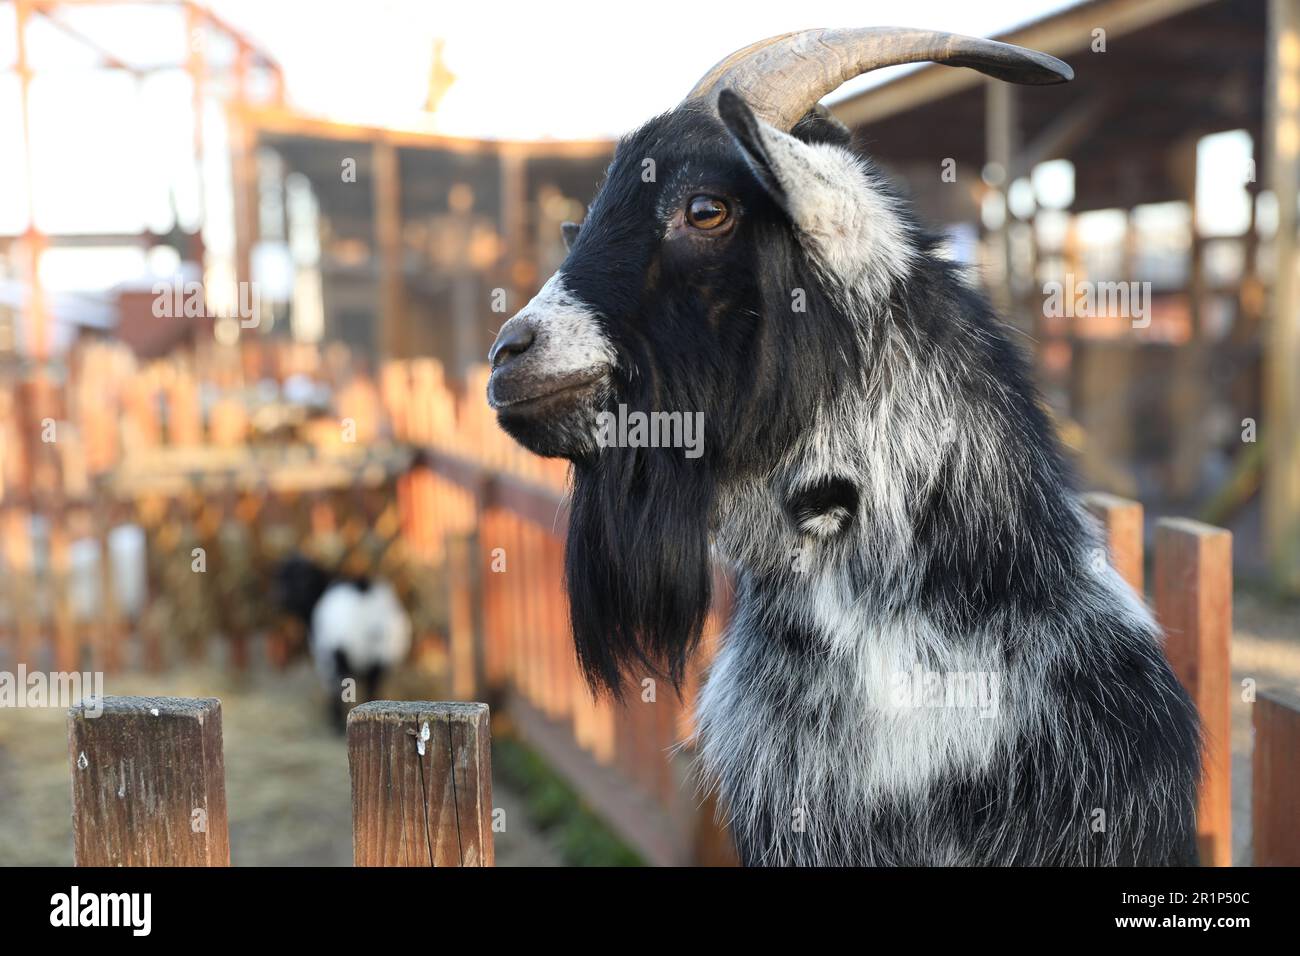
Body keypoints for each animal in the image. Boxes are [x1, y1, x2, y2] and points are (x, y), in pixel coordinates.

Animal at [273, 555, 411, 730]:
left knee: (338, 687)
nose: (280, 596)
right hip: (385, 654)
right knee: (374, 686)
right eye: (281, 576)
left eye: (304, 579)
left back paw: (337, 724)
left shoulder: (324, 657)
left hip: (337, 655)